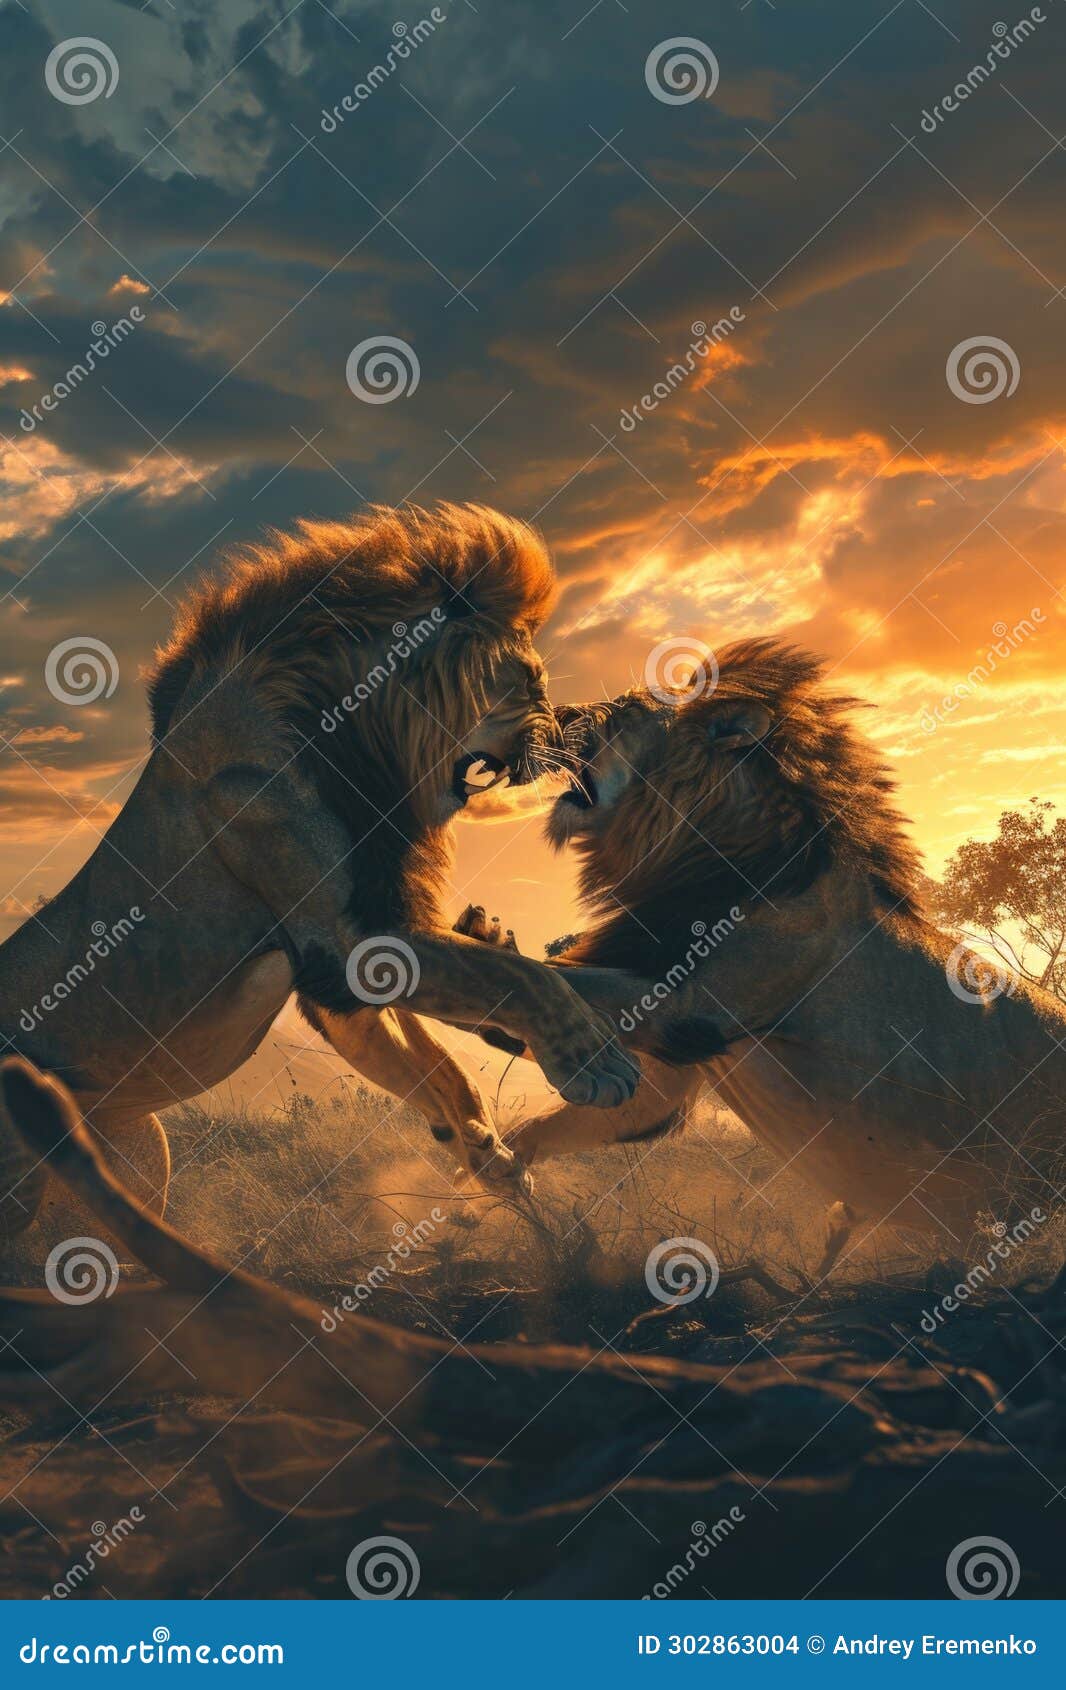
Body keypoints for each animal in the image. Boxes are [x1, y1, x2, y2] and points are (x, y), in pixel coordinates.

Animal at [0, 502, 640, 1239]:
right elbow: (516, 976)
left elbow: (444, 1057)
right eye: (533, 681)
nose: (565, 736)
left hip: (139, 1153)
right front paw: (595, 1064)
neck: (364, 748)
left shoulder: (341, 979)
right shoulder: (343, 941)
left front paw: (489, 1154)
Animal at [452, 639, 1066, 1273]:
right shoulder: (667, 1076)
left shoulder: (689, 1005)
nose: (558, 714)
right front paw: (486, 1178)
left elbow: (553, 980)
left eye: (623, 709)